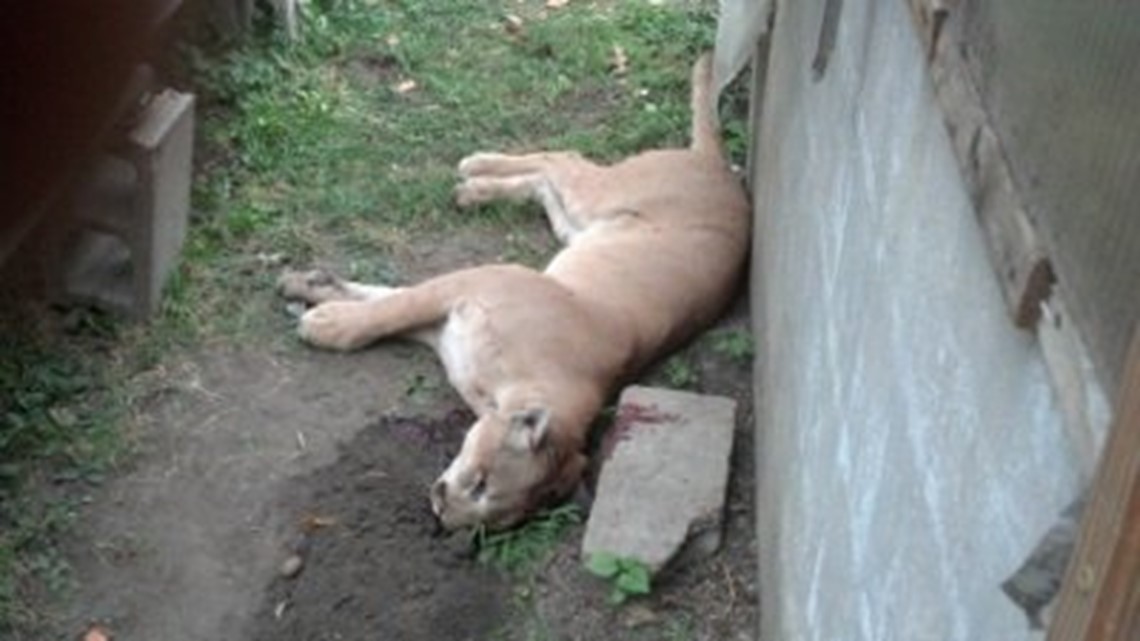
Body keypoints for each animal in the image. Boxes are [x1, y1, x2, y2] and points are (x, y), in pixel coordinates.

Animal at [277, 53, 751, 530]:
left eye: (494, 518)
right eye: (481, 482)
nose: (442, 514)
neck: (513, 387)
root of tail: (721, 170)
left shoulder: (445, 328)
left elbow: (385, 299)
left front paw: (316, 292)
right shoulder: (472, 283)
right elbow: (390, 307)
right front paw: (322, 317)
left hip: (576, 224)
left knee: (543, 182)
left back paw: (475, 189)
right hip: (595, 198)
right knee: (561, 157)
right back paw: (476, 166)